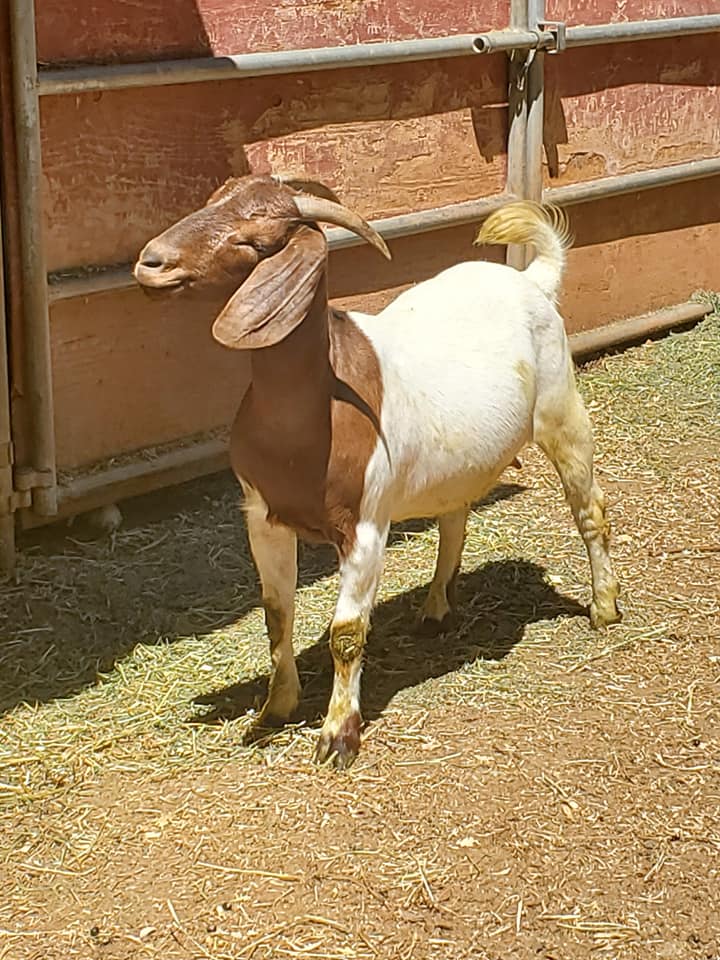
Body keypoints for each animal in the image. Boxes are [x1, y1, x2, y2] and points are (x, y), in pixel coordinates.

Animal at [134, 175, 621, 768]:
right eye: (209, 205)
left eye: (257, 240)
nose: (152, 262)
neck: (320, 402)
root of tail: (533, 279)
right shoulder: (261, 516)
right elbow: (276, 615)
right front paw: (276, 706)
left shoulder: (365, 527)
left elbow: (346, 633)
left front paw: (338, 734)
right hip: (460, 458)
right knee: (455, 520)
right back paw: (435, 611)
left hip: (561, 408)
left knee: (590, 509)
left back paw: (603, 607)